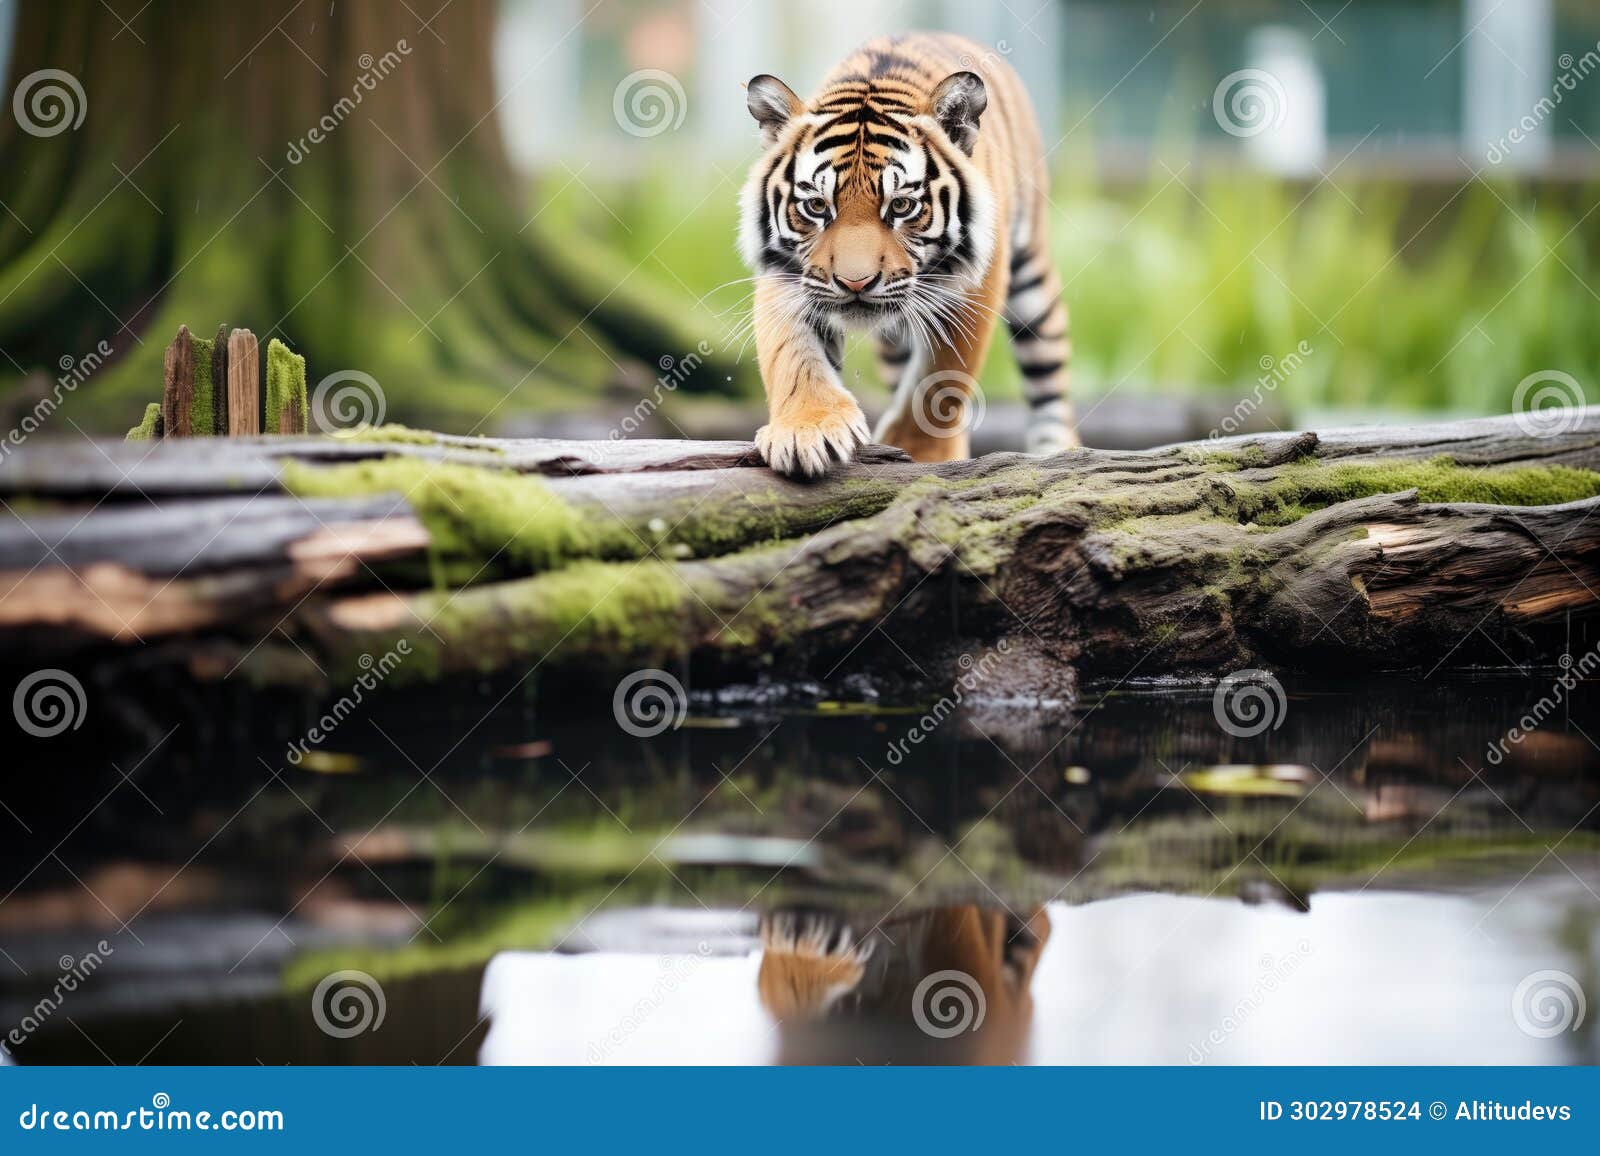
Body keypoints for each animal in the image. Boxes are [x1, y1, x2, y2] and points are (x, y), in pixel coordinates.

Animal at [739, 33, 1078, 478]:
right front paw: (807, 430)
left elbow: (940, 382)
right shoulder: (788, 273)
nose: (855, 283)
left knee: (1048, 377)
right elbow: (791, 353)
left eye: (900, 206)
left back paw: (1060, 450)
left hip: (1032, 281)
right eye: (816, 206)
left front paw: (919, 454)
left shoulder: (976, 283)